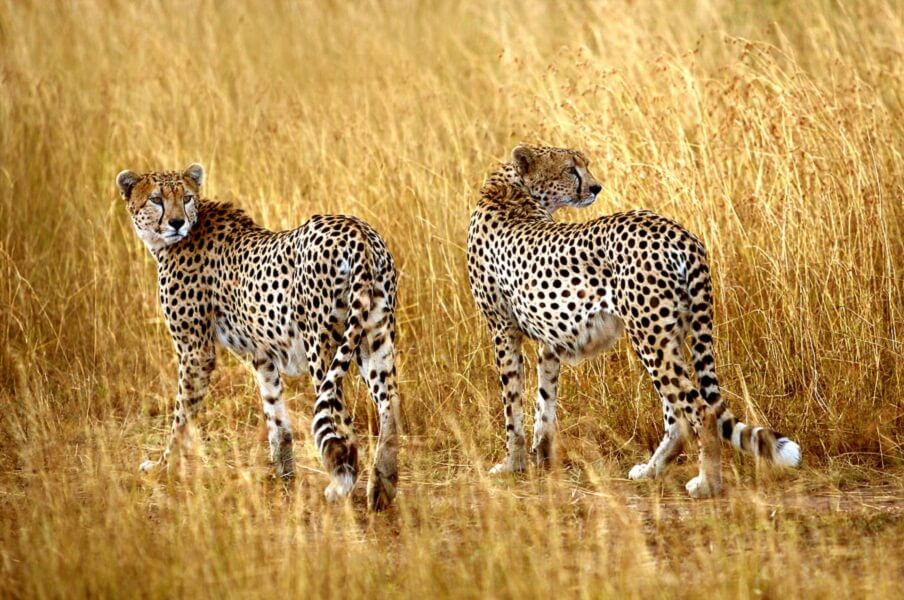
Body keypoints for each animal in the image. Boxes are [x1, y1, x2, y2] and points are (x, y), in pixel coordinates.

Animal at [116, 163, 401, 510]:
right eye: (156, 199)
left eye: (185, 198)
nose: (176, 222)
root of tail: (356, 229)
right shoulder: (261, 354)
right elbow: (276, 417)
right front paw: (284, 475)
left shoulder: (195, 351)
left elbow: (182, 417)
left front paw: (163, 467)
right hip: (374, 337)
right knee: (390, 404)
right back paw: (382, 486)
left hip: (322, 345)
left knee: (339, 414)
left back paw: (340, 484)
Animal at [466, 145, 801, 498]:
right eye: (571, 168)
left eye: (583, 165)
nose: (596, 188)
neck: (513, 192)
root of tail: (679, 232)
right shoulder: (550, 340)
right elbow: (544, 401)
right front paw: (540, 455)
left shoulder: (502, 330)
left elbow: (512, 404)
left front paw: (511, 464)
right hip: (669, 334)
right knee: (677, 417)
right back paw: (652, 469)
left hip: (649, 336)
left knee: (700, 411)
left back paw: (707, 484)